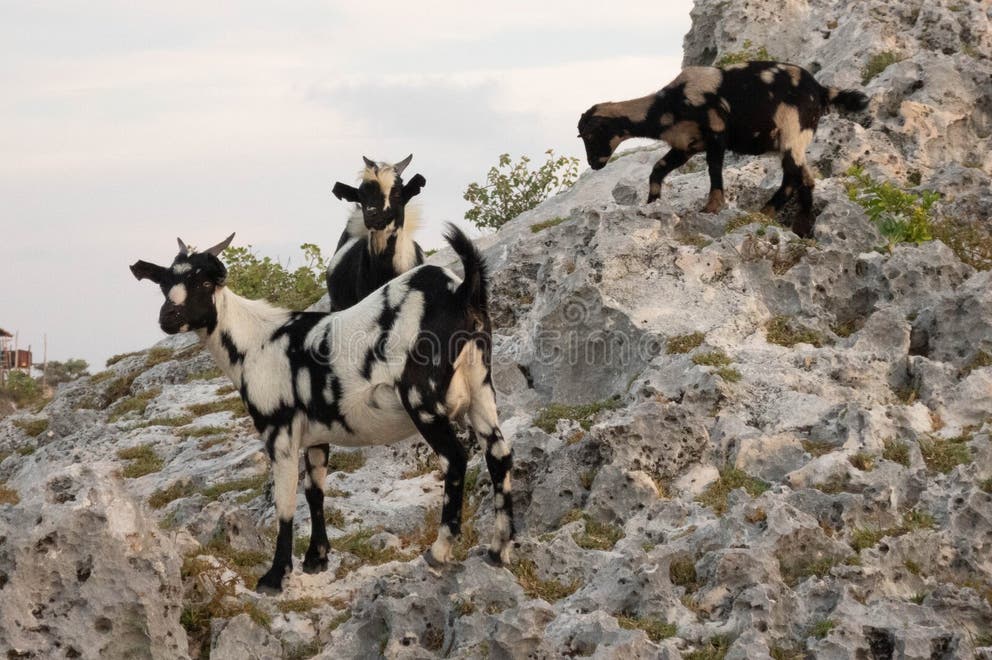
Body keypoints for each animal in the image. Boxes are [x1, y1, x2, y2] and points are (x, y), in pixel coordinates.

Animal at [130, 226, 514, 594]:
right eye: (164, 284)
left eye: (206, 282)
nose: (168, 317)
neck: (256, 342)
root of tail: (461, 290)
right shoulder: (316, 435)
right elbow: (314, 490)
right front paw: (317, 558)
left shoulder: (279, 430)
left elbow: (285, 503)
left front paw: (275, 577)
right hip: (481, 388)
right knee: (499, 454)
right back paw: (499, 550)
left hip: (424, 399)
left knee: (456, 458)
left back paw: (438, 552)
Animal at [577, 61, 869, 237]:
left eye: (589, 134)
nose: (594, 163)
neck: (668, 104)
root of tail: (820, 90)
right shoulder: (686, 145)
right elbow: (657, 170)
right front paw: (651, 204)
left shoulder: (715, 131)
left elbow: (714, 168)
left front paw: (713, 206)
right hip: (792, 142)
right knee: (803, 179)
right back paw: (794, 225)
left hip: (792, 134)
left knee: (793, 178)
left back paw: (771, 215)